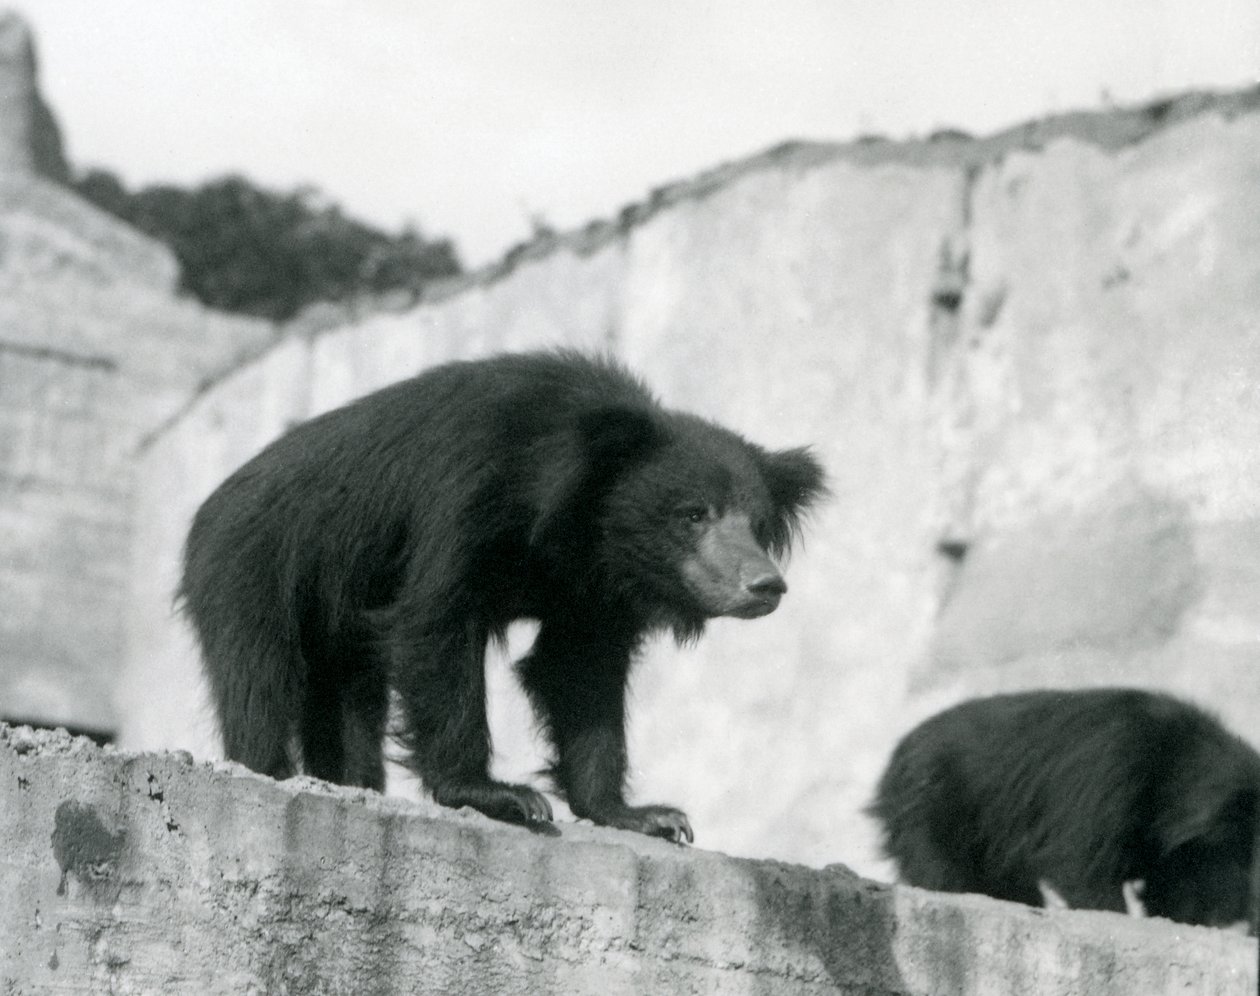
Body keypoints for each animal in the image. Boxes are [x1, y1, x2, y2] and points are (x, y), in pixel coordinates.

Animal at [180, 349, 825, 841]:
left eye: (756, 525)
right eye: (693, 514)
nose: (766, 585)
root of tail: (208, 507)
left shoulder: (594, 587)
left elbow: (581, 668)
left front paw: (647, 816)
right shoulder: (465, 491)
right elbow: (435, 620)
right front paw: (500, 795)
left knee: (346, 704)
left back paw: (349, 782)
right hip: (254, 564)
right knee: (259, 676)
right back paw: (270, 770)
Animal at [869, 687, 1259, 930]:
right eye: (1242, 861)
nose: (1243, 920)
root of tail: (893, 760)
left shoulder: (1177, 855)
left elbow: (1176, 889)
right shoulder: (1108, 775)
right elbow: (1082, 864)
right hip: (934, 808)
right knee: (944, 871)